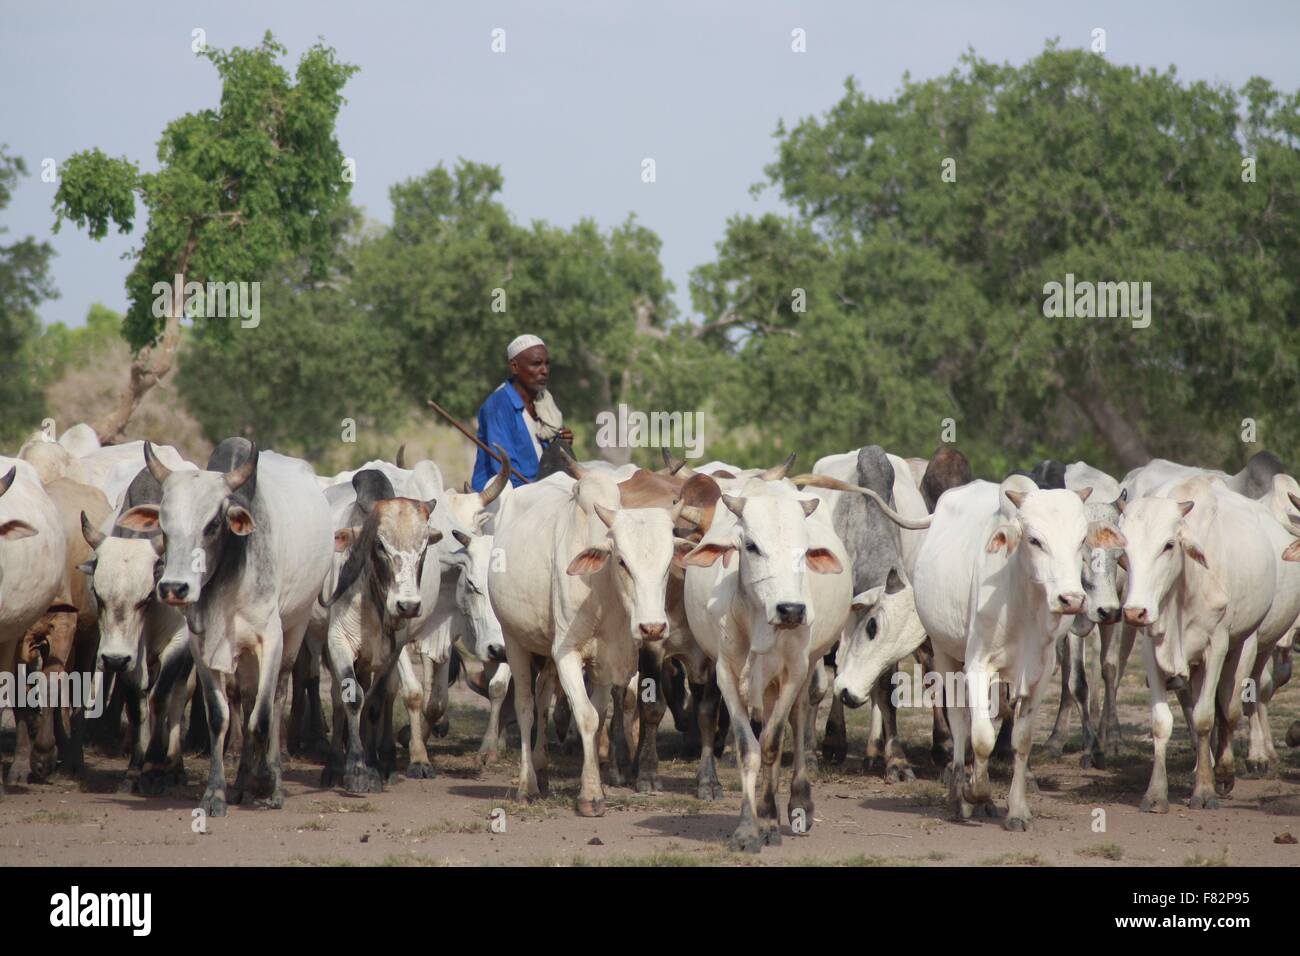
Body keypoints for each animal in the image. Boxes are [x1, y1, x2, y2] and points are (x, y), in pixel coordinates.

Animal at [117, 440, 332, 814]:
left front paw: (265, 783)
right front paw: (216, 793)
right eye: (163, 527)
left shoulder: (270, 639)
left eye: (213, 524)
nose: (174, 588)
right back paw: (242, 781)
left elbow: (261, 718)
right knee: (243, 697)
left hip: (296, 626)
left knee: (276, 696)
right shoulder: (202, 646)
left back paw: (271, 780)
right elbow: (221, 716)